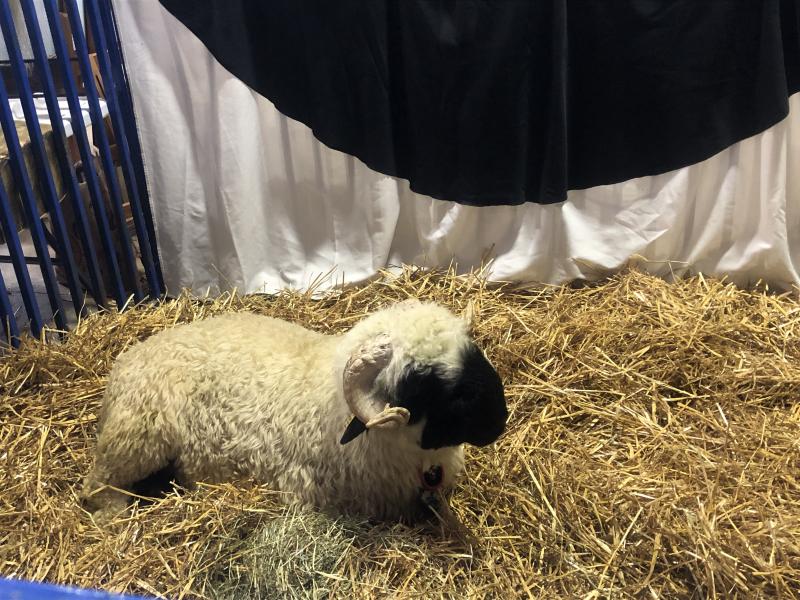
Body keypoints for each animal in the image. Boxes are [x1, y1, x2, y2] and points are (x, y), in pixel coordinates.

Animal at [80, 300, 507, 523]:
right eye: (421, 381)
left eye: (471, 352)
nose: (499, 419)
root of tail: (127, 358)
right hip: (137, 437)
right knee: (98, 485)